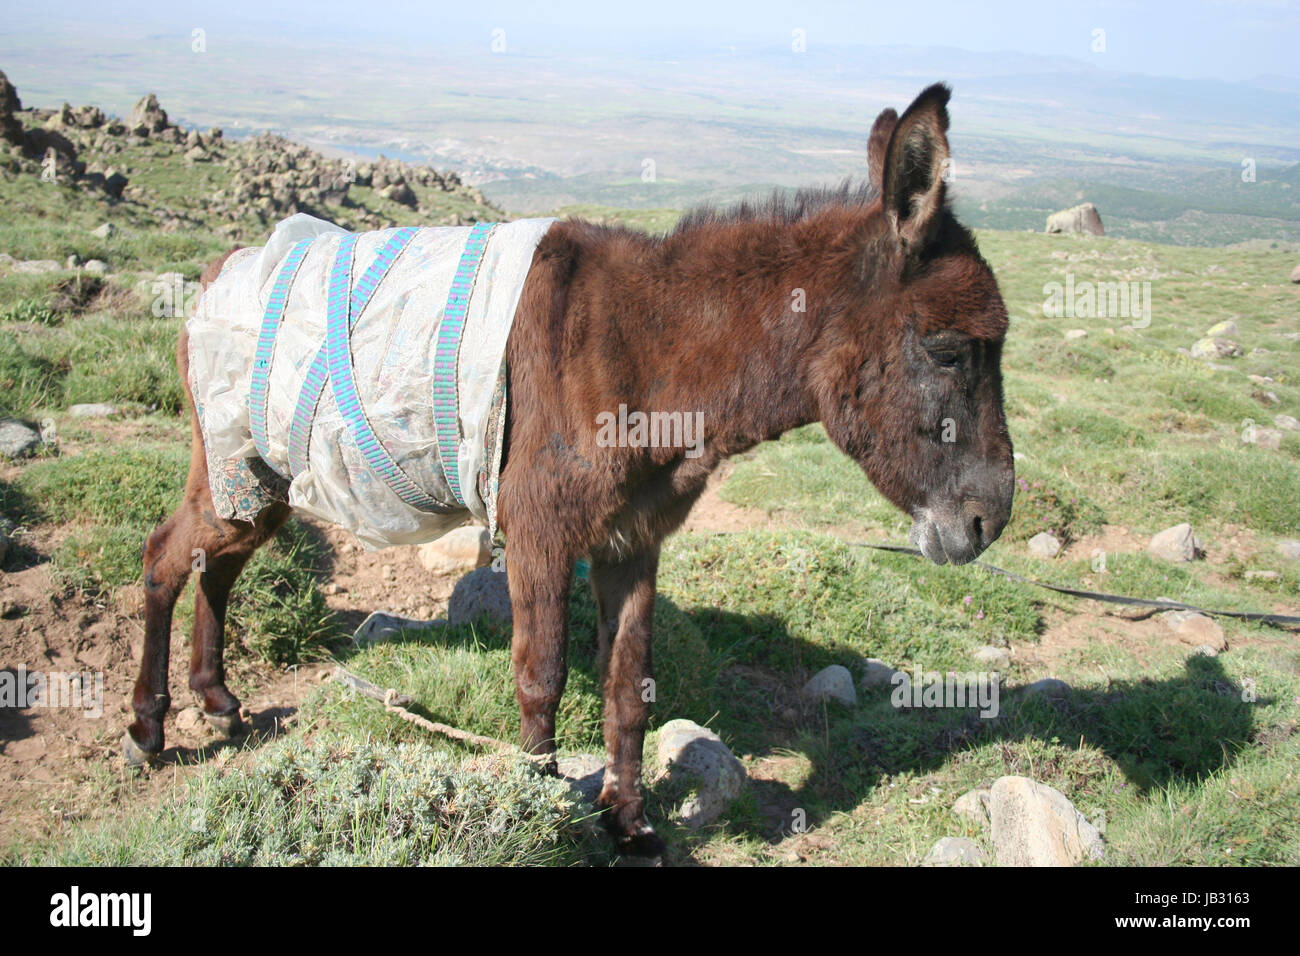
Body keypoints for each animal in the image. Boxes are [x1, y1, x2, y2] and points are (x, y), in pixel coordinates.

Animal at [127, 82, 1014, 857]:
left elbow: (629, 688)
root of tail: (224, 268)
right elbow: (541, 675)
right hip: (237, 464)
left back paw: (217, 701)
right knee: (166, 556)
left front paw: (628, 825)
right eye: (949, 351)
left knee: (215, 564)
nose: (989, 520)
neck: (649, 356)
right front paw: (539, 809)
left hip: (263, 479)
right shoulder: (540, 533)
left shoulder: (632, 542)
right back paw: (148, 727)